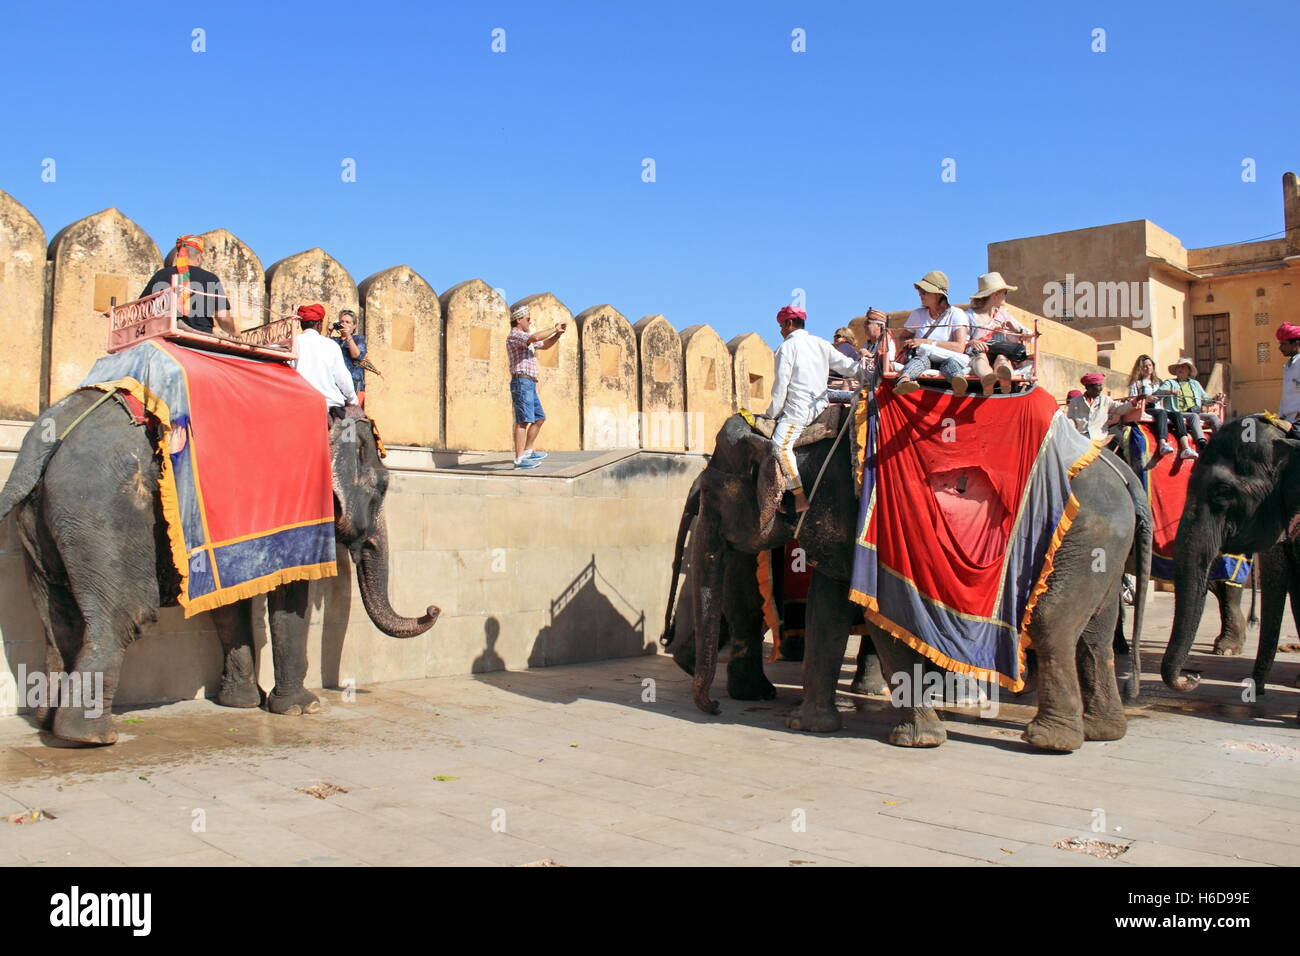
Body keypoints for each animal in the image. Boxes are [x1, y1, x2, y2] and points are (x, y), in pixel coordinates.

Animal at [0, 388, 439, 745]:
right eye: (382, 487)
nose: (433, 607)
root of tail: (48, 438)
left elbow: (229, 601)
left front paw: (241, 704)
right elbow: (290, 594)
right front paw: (302, 708)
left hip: (40, 521)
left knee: (58, 617)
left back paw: (46, 723)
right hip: (105, 509)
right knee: (126, 616)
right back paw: (92, 736)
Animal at [681, 404, 1151, 752]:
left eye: (712, 497)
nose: (714, 708)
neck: (798, 435)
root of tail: (1123, 474)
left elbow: (880, 613)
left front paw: (917, 741)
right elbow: (827, 610)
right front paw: (807, 726)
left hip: (1083, 533)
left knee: (1051, 625)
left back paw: (1050, 741)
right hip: (1101, 546)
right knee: (1096, 632)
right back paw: (1103, 733)